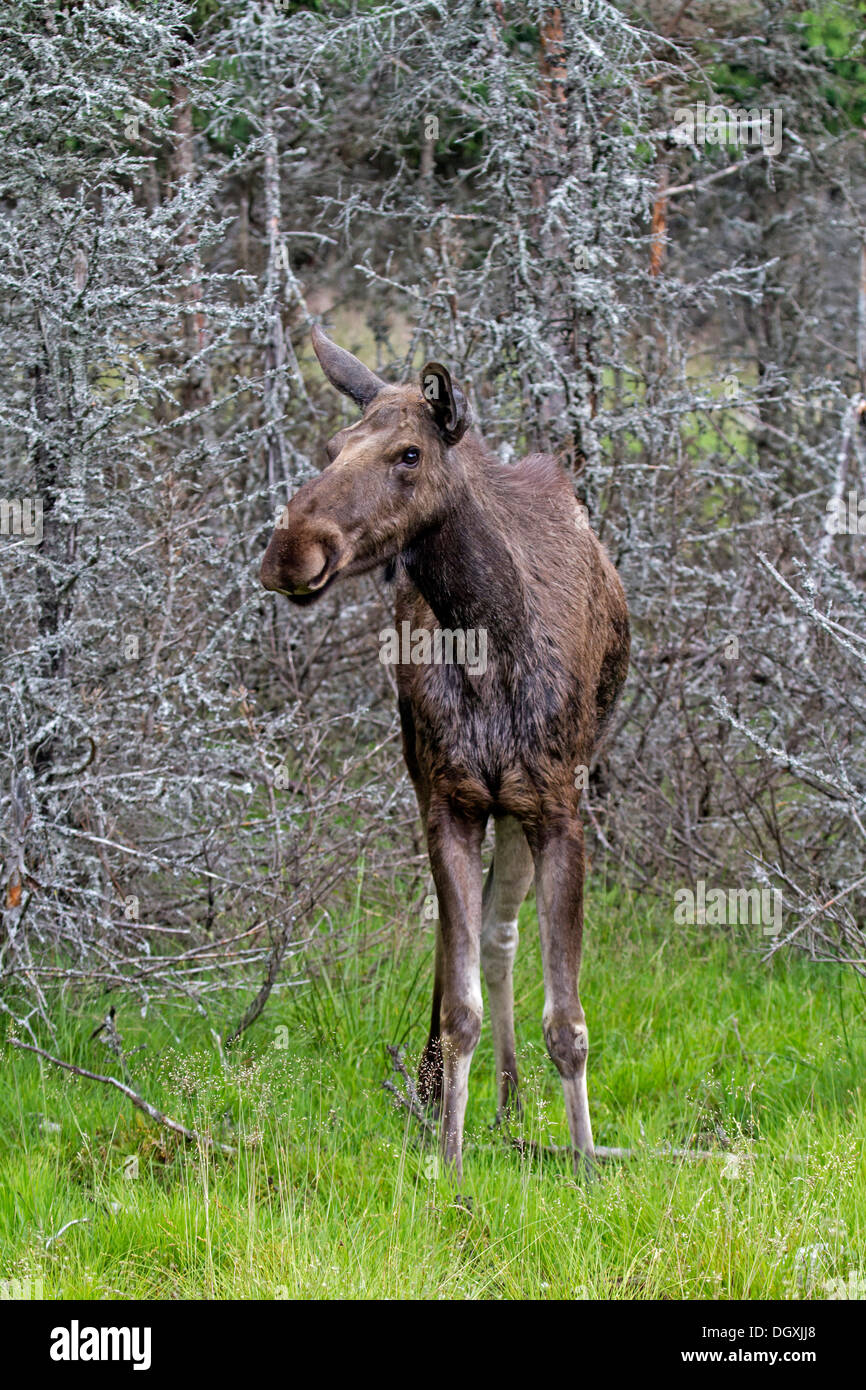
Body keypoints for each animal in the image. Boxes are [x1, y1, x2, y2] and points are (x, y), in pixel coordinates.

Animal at [261, 326, 630, 1181]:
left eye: (409, 453)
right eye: (334, 446)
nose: (292, 548)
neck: (490, 637)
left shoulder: (557, 807)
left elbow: (569, 1019)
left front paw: (587, 1164)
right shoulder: (451, 802)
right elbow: (461, 1003)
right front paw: (450, 1162)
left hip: (529, 800)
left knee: (498, 931)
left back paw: (509, 1098)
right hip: (427, 779)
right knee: (458, 937)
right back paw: (445, 1092)